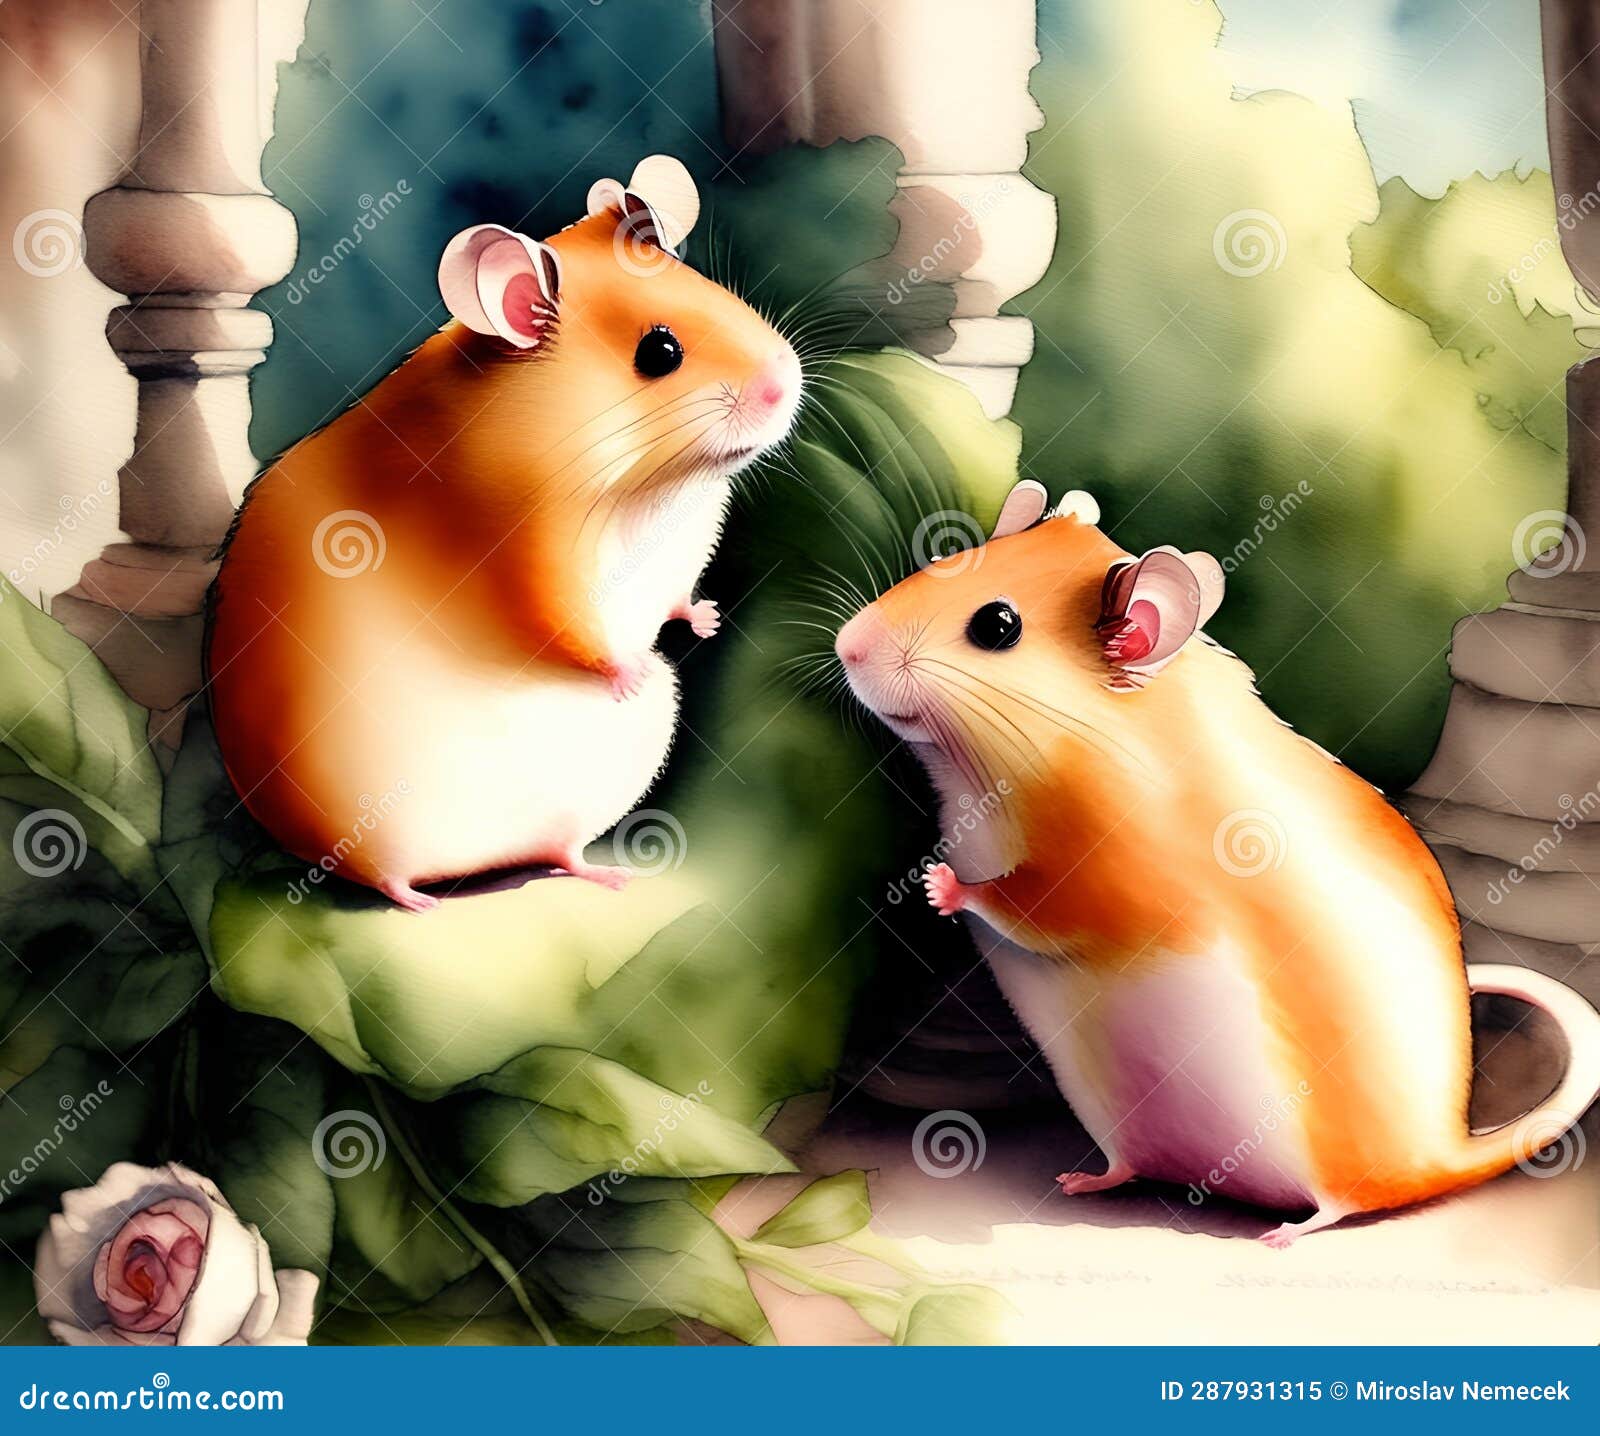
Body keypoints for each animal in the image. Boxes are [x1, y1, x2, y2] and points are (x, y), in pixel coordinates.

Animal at [207, 157, 801, 912]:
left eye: (721, 293)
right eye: (660, 351)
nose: (786, 386)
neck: (654, 483)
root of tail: (470, 865)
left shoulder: (676, 558)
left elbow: (675, 598)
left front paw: (708, 620)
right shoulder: (522, 564)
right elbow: (562, 628)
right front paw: (629, 673)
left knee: (556, 849)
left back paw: (603, 875)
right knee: (378, 873)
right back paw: (422, 903)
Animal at [836, 479, 1600, 1244]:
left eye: (996, 626)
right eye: (949, 557)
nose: (846, 647)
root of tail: (1438, 1157)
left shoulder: (1111, 875)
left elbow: (1032, 905)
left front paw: (944, 885)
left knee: (1344, 1202)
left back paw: (1288, 1231)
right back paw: (1089, 1180)